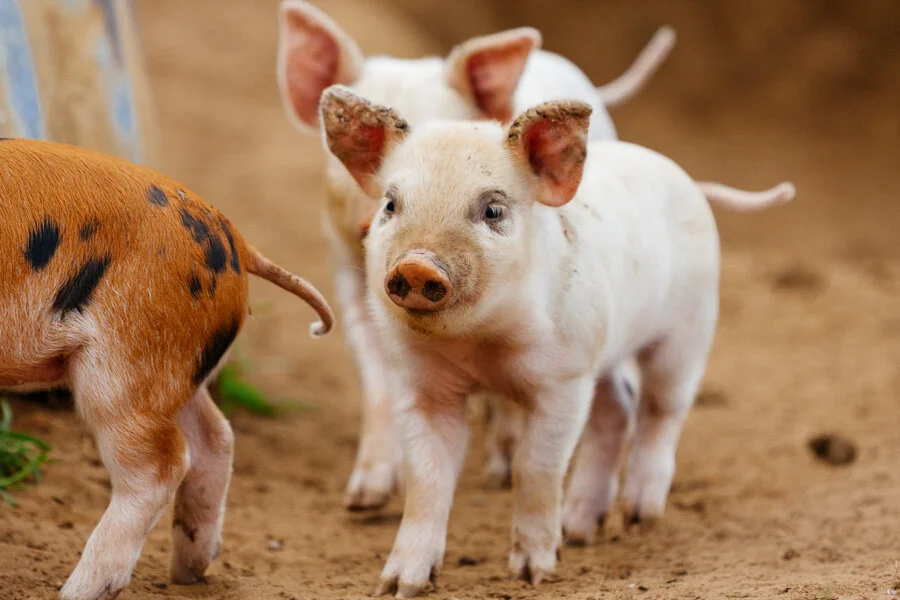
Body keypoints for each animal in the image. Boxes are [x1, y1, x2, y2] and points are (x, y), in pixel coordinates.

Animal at [0, 138, 334, 600]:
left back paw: (77, 591)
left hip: (126, 362)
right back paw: (188, 572)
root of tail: (234, 235)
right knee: (215, 437)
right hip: (176, 364)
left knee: (162, 465)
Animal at [319, 86, 794, 596]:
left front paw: (534, 574)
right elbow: (427, 478)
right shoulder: (422, 384)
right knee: (618, 408)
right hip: (605, 353)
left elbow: (535, 466)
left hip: (689, 326)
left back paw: (639, 515)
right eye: (391, 205)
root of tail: (683, 176)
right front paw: (399, 586)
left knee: (662, 409)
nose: (416, 264)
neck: (480, 345)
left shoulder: (565, 378)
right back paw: (581, 529)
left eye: (492, 209)